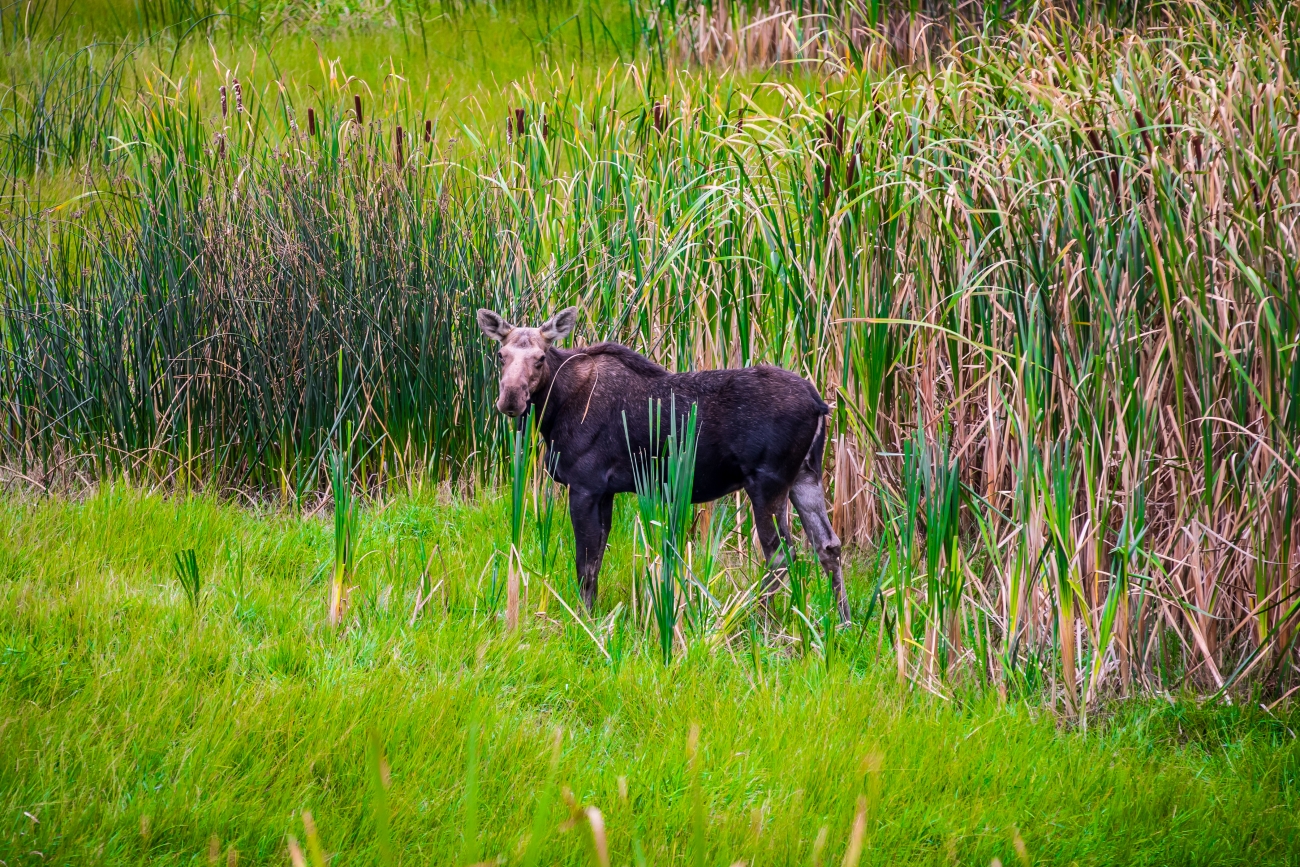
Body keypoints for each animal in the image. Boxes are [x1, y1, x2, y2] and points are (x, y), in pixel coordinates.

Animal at [477, 306, 849, 623]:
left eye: (540, 358)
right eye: (501, 355)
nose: (510, 398)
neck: (554, 409)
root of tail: (820, 404)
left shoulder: (584, 483)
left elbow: (585, 561)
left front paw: (584, 619)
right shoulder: (606, 490)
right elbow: (596, 557)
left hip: (767, 482)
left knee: (780, 553)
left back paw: (764, 623)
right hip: (806, 475)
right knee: (827, 545)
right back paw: (843, 622)